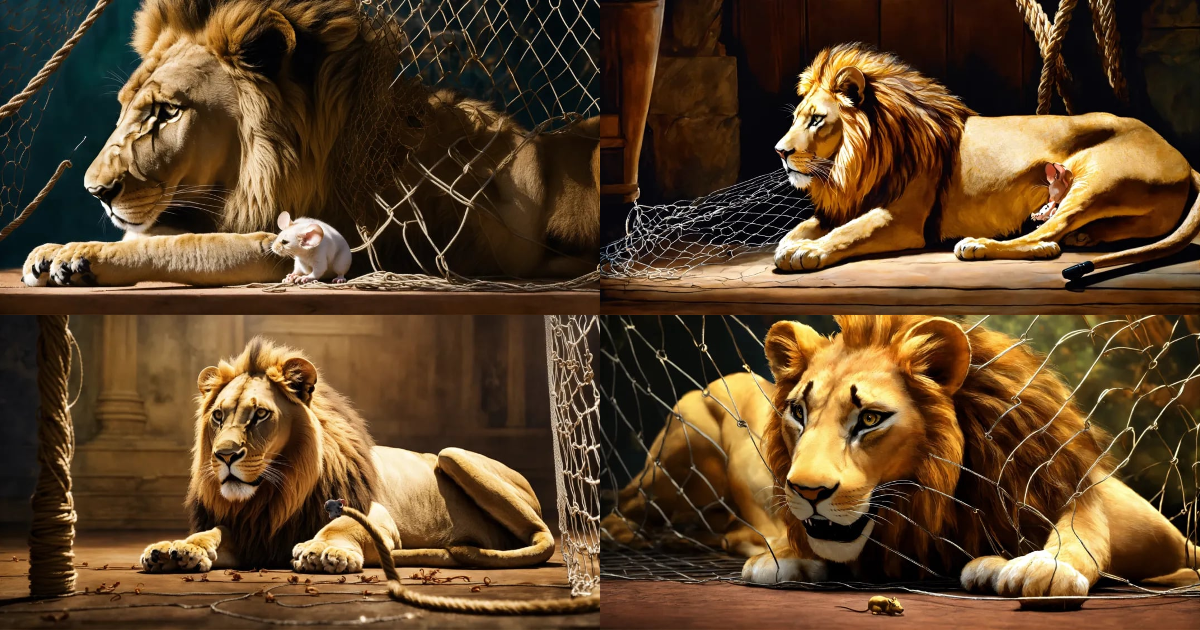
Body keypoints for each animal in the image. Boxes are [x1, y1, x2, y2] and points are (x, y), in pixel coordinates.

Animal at [23, 0, 598, 287]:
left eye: (168, 111)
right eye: (125, 106)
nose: (95, 191)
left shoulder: (296, 241)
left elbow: (178, 246)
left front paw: (75, 255)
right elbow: (164, 235)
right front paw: (52, 251)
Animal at [141, 336, 556, 573]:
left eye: (260, 415)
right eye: (218, 416)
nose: (224, 455)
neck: (277, 494)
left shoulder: (378, 518)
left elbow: (341, 524)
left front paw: (321, 550)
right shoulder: (252, 531)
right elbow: (212, 531)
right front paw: (176, 549)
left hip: (451, 454)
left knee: (543, 535)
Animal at [603, 315, 1199, 597]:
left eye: (869, 419)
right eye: (799, 412)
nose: (805, 491)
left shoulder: (1100, 493)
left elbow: (1083, 522)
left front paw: (1044, 564)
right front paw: (788, 555)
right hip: (687, 426)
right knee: (623, 512)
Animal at [772, 43, 1199, 281]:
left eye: (816, 120)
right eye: (796, 118)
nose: (780, 151)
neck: (851, 167)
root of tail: (1184, 158)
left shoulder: (903, 219)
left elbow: (850, 231)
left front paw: (807, 252)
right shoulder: (842, 206)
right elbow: (802, 228)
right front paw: (791, 246)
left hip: (1096, 180)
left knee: (1045, 241)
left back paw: (979, 244)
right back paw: (1086, 237)